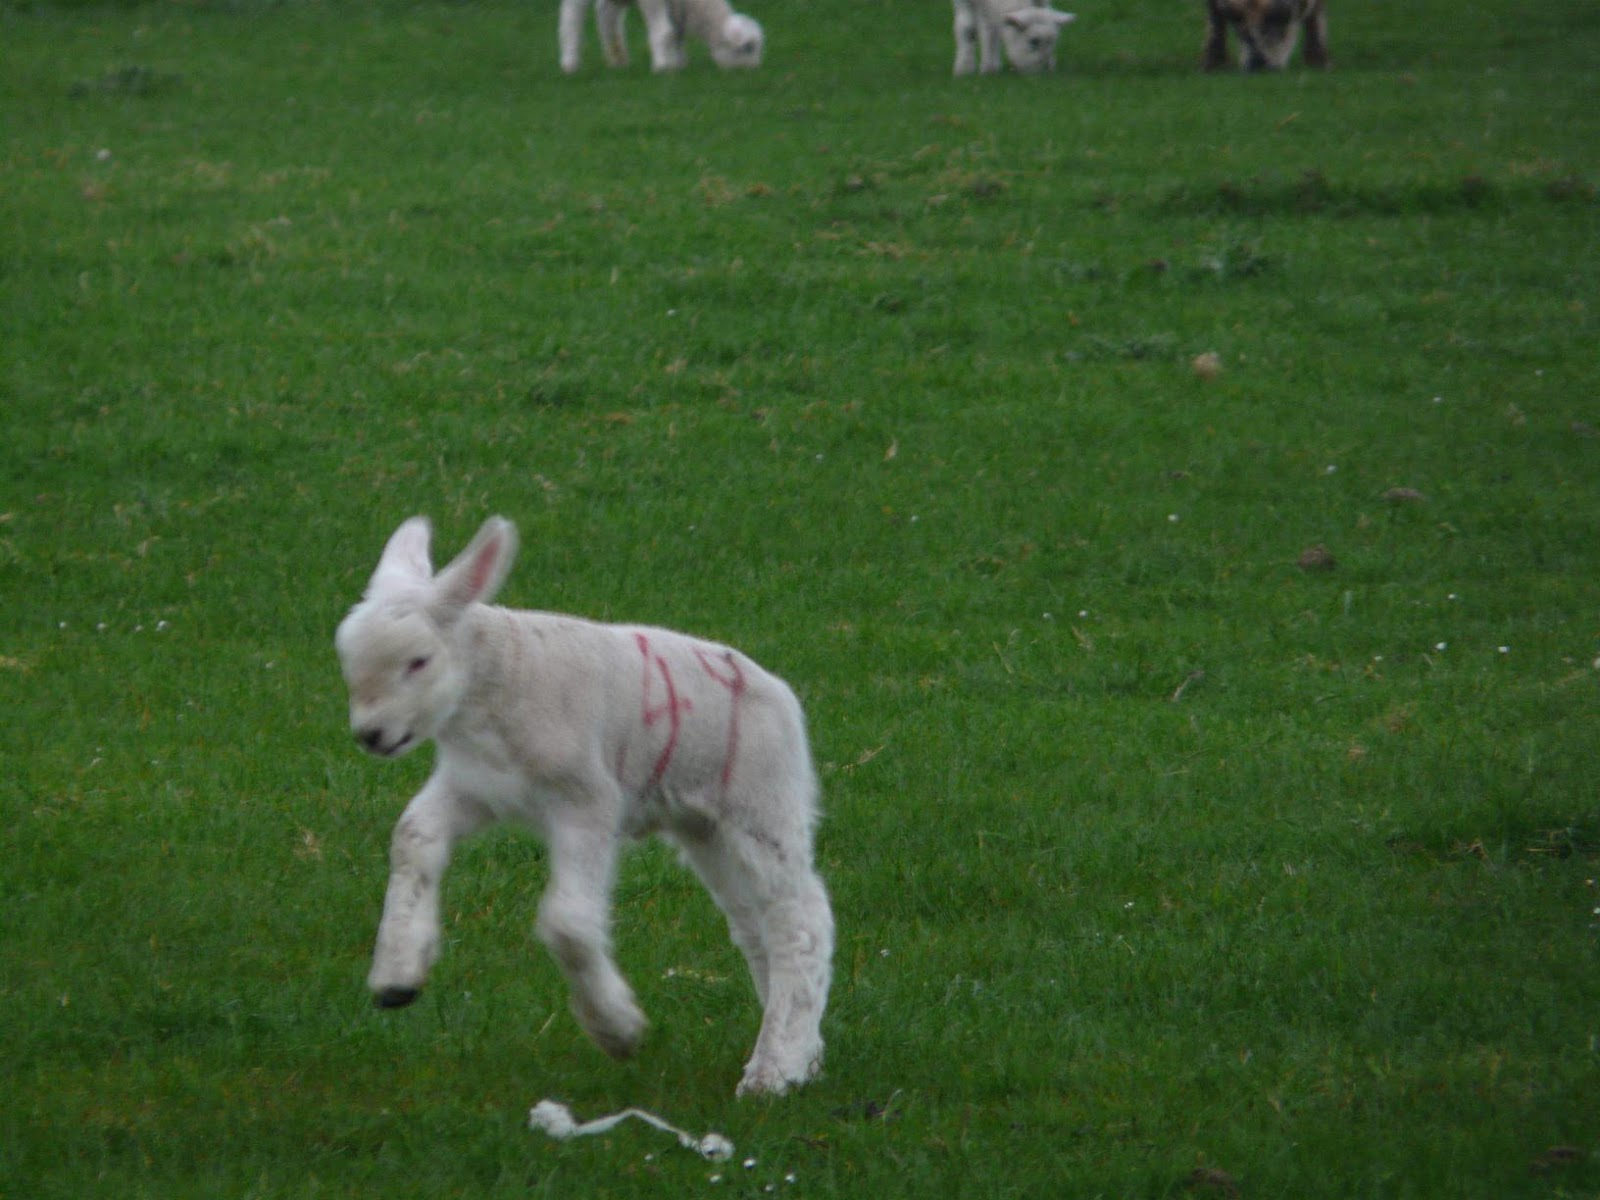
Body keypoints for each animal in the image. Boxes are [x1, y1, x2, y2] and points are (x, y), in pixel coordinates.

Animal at [335, 516, 833, 1098]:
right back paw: (800, 1051)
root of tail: (780, 692)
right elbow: (413, 837)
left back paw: (773, 1068)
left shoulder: (588, 798)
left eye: (418, 661)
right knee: (756, 925)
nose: (371, 735)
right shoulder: (475, 784)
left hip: (761, 802)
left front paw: (616, 1028)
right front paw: (397, 974)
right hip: (705, 826)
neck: (500, 680)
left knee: (800, 921)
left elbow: (568, 923)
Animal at [560, 0, 765, 74]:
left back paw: (618, 60)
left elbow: (677, 33)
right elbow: (663, 31)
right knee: (570, 19)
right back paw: (569, 62)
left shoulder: (677, 5)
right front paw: (662, 66)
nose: (754, 68)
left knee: (606, 15)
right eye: (747, 47)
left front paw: (678, 62)